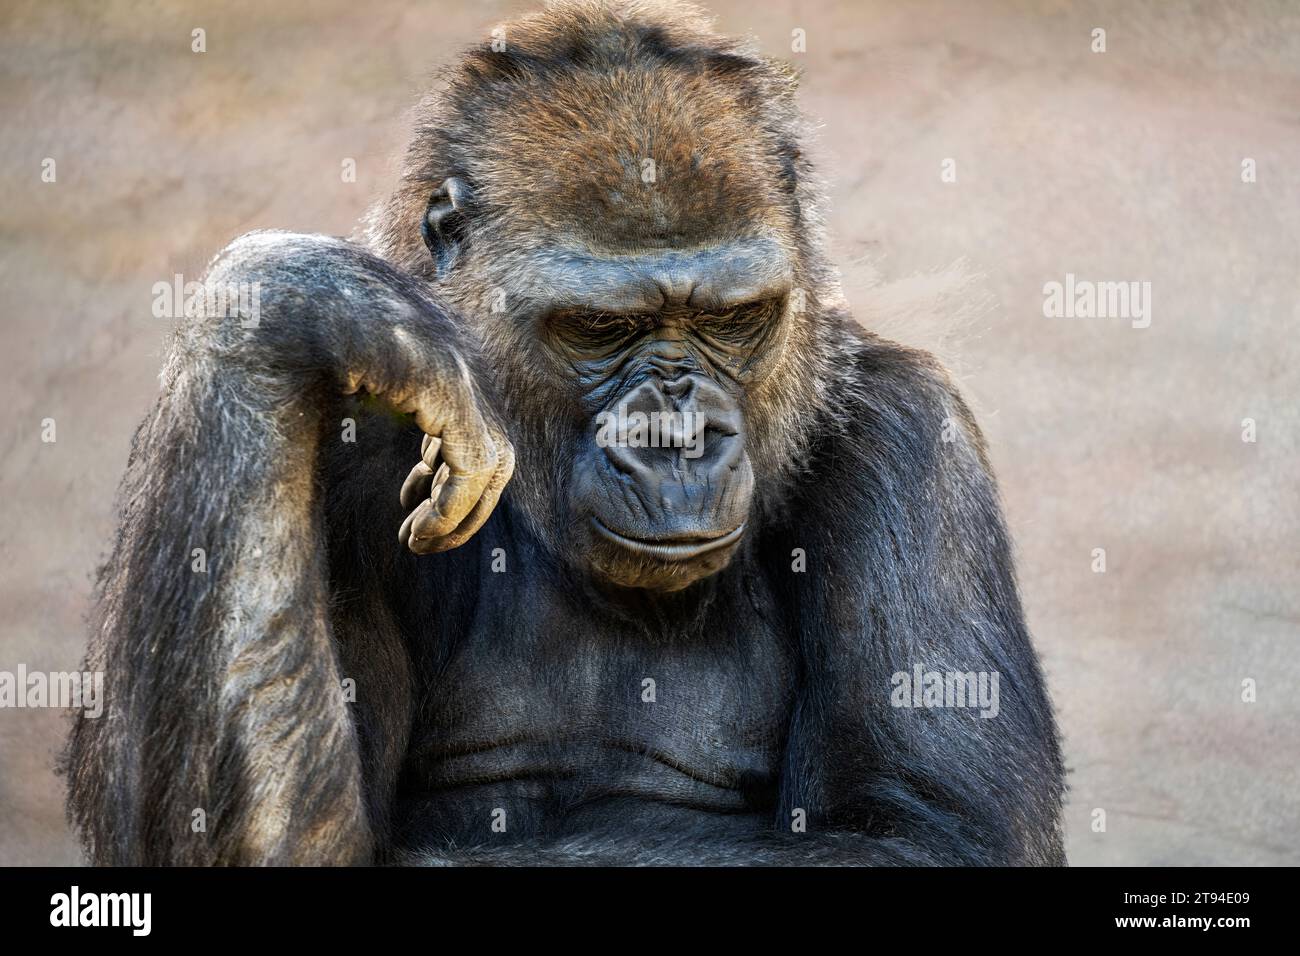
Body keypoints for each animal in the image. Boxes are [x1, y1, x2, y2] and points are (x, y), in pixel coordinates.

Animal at [65, 0, 1065, 866]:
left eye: (733, 318)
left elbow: (921, 832)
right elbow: (276, 844)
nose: (678, 439)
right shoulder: (338, 454)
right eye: (600, 328)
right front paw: (302, 300)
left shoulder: (910, 435)